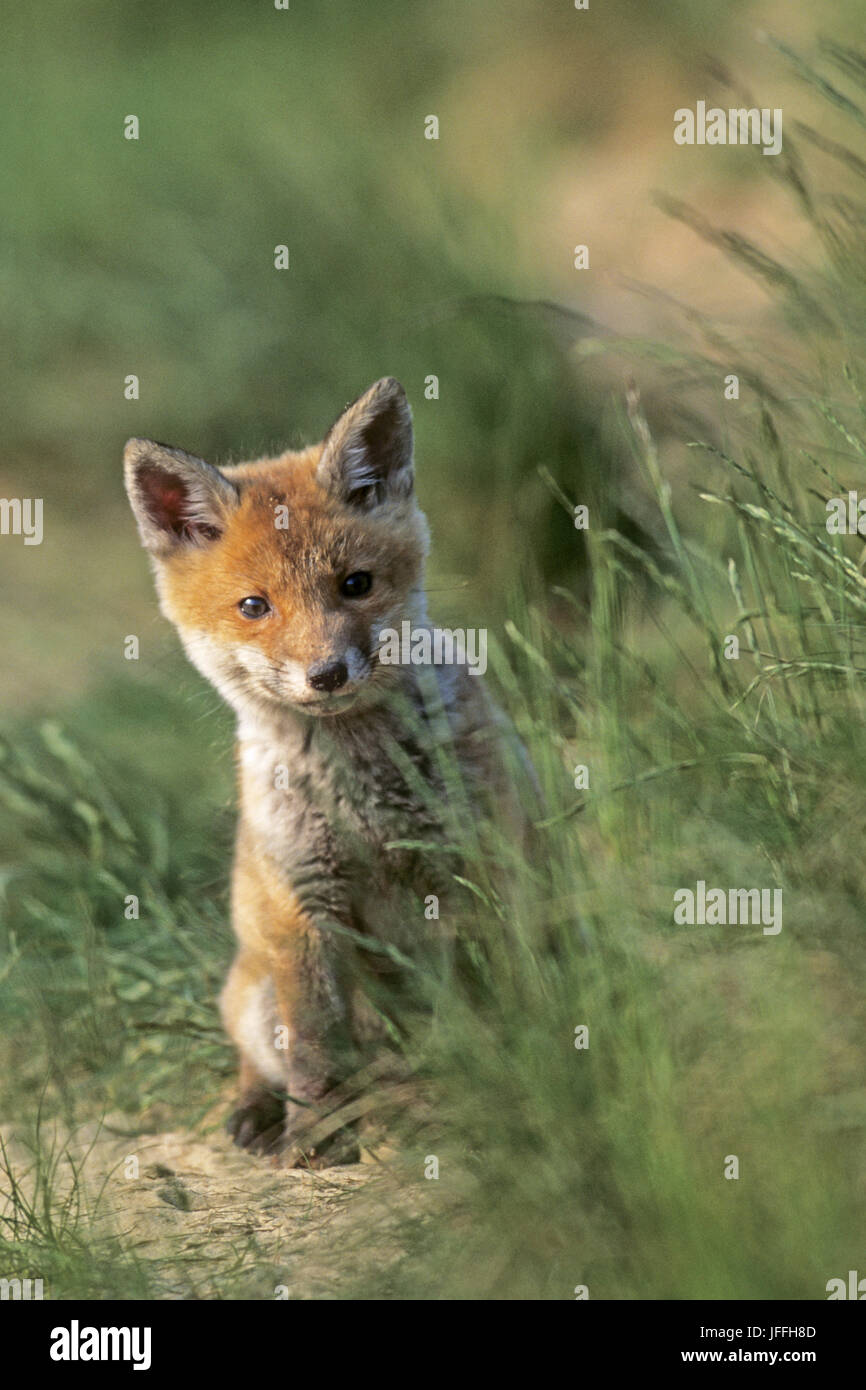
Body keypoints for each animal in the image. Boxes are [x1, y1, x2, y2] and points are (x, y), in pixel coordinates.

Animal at [124, 377, 525, 1167]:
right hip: (254, 984)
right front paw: (316, 1139)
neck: (363, 793)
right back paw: (259, 1112)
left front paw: (508, 1071)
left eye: (355, 583)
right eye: (254, 606)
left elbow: (487, 992)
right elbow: (313, 1042)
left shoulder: (470, 866)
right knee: (259, 1055)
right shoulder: (302, 899)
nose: (327, 674)